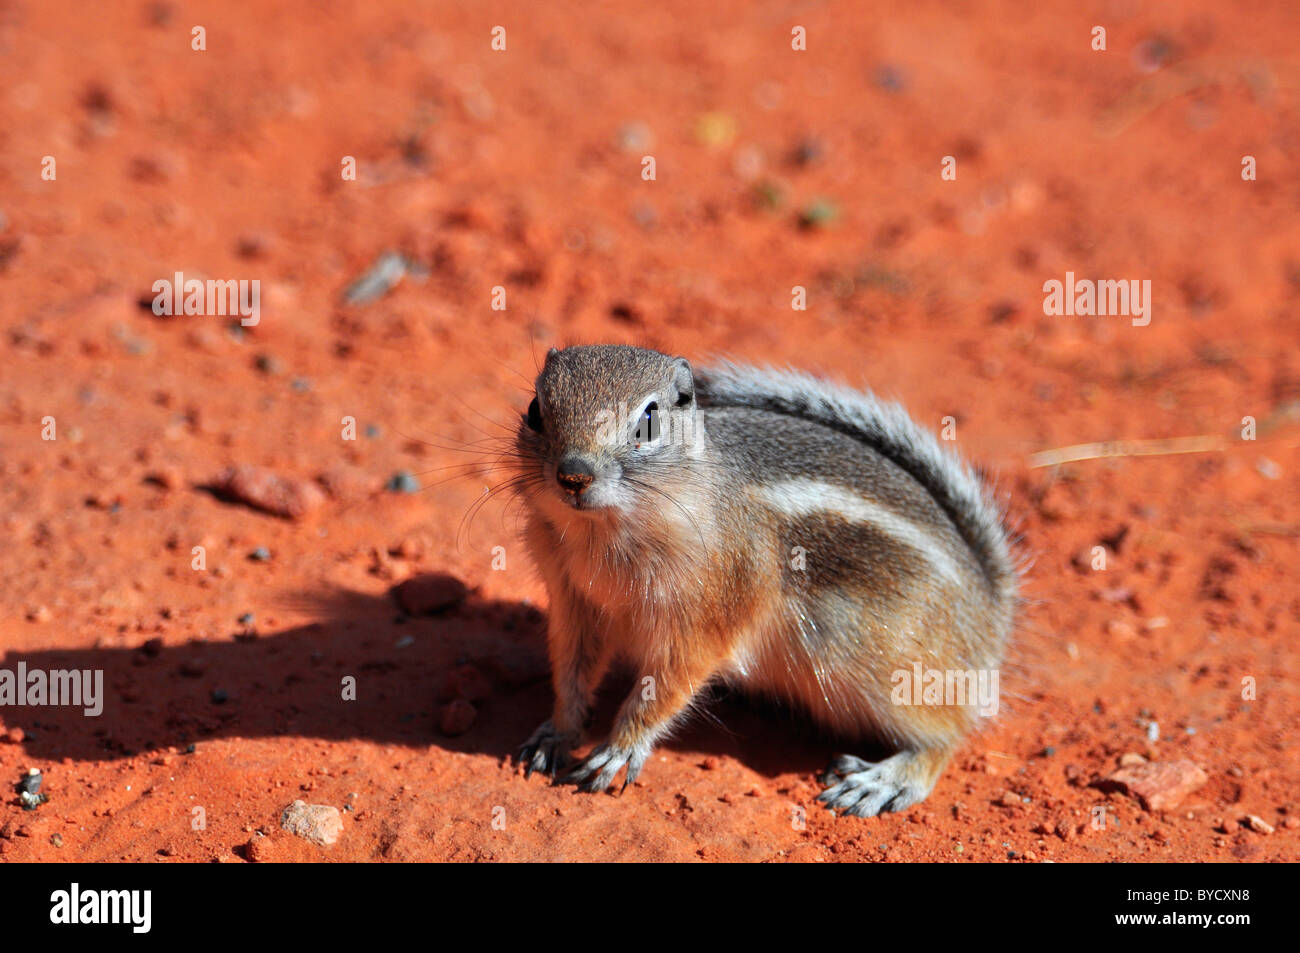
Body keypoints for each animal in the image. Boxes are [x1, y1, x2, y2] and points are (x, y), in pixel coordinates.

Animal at [513, 344, 1018, 817]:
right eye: (536, 409)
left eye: (649, 422)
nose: (574, 475)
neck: (602, 532)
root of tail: (990, 612)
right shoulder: (575, 603)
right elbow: (573, 670)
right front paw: (557, 733)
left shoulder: (707, 616)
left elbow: (666, 687)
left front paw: (619, 750)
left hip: (884, 664)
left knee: (946, 736)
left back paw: (885, 780)